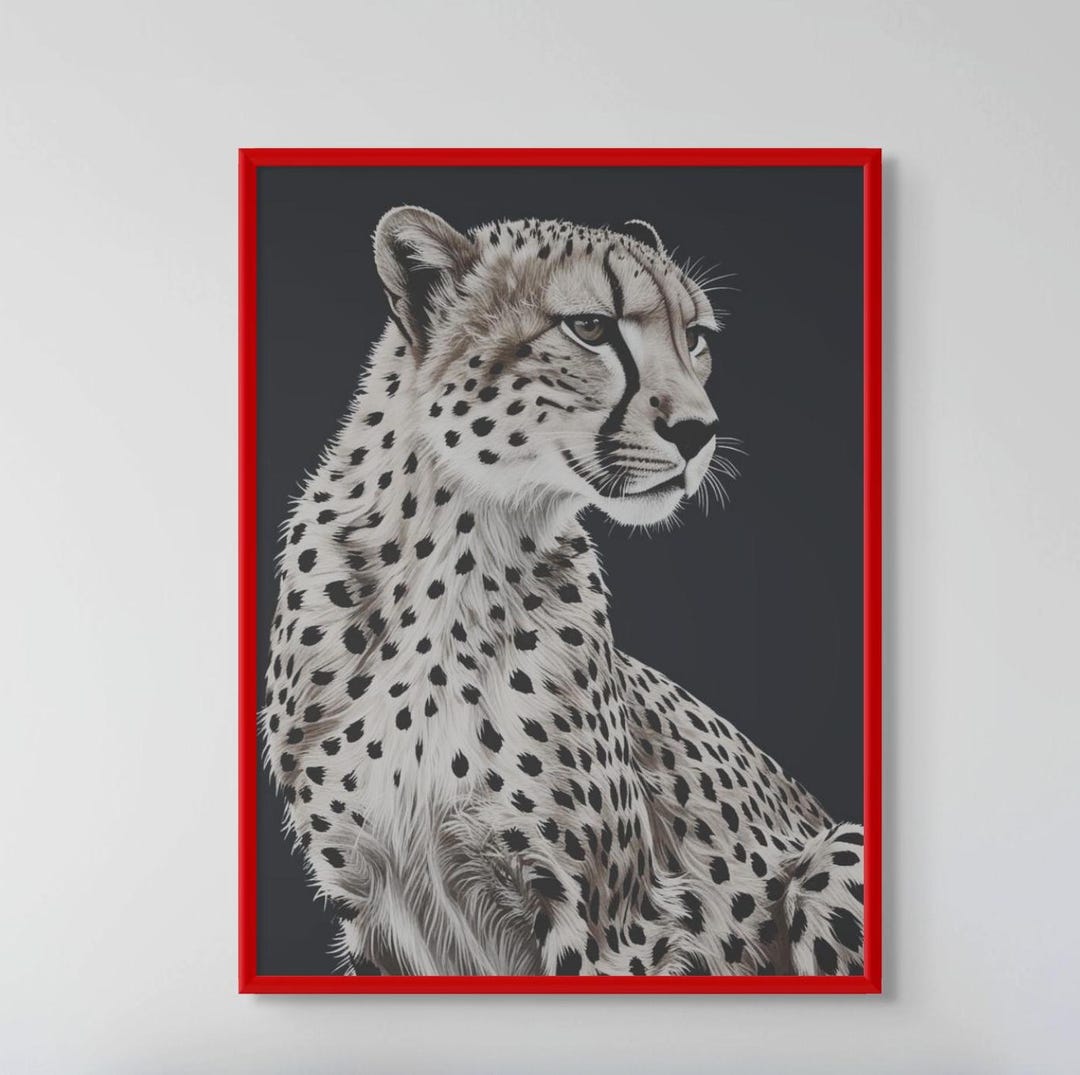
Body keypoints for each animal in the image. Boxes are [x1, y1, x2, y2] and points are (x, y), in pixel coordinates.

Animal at [260, 205, 865, 977]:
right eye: (591, 328)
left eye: (694, 337)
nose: (700, 432)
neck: (453, 558)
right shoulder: (372, 908)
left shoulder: (613, 927)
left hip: (837, 852)